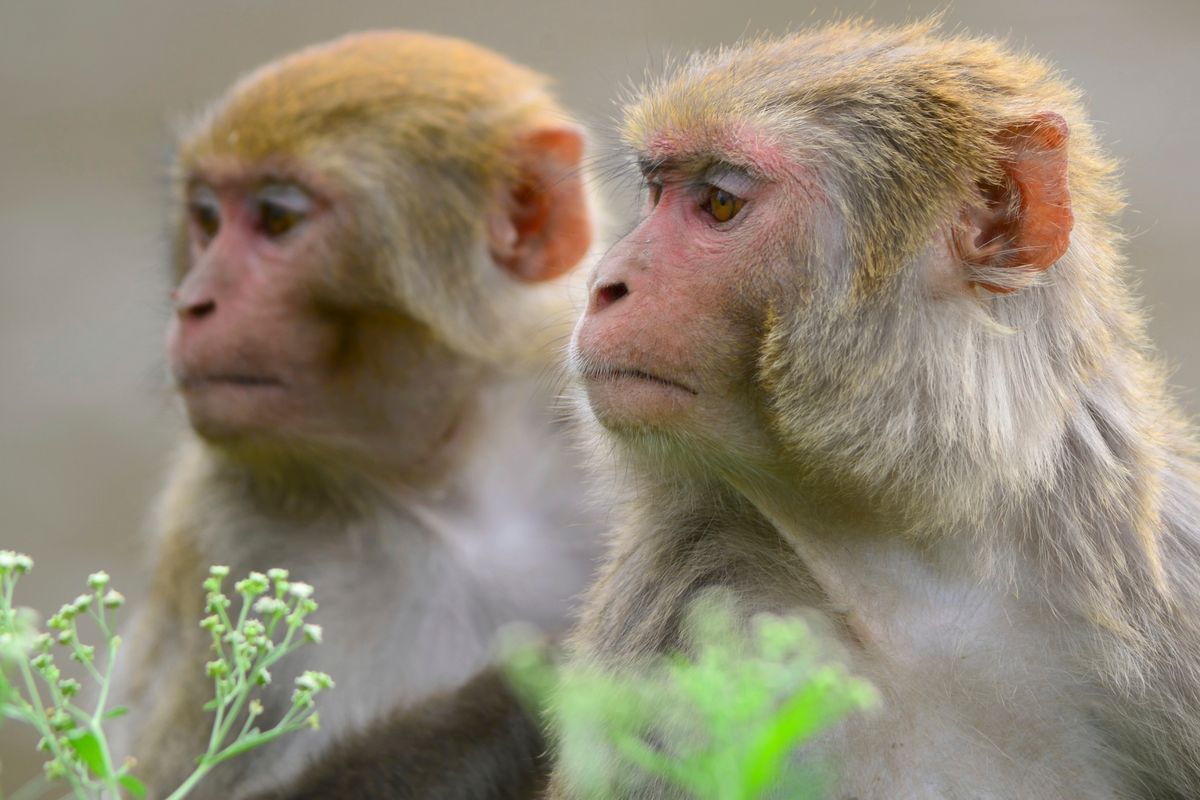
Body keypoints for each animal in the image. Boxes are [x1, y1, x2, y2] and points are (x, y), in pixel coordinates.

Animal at [105, 31, 604, 800]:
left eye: (277, 219)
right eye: (208, 219)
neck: (454, 490)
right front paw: (547, 684)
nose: (191, 303)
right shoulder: (225, 531)